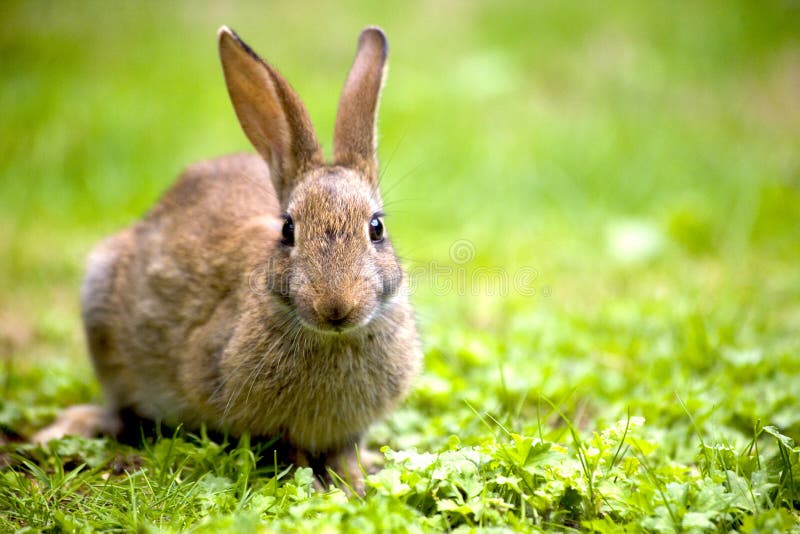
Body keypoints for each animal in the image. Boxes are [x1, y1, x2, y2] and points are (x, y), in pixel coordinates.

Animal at [32, 25, 423, 492]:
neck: (332, 339)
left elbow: (344, 455)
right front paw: (318, 489)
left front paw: (356, 485)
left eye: (376, 228)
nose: (336, 306)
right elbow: (290, 453)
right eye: (288, 230)